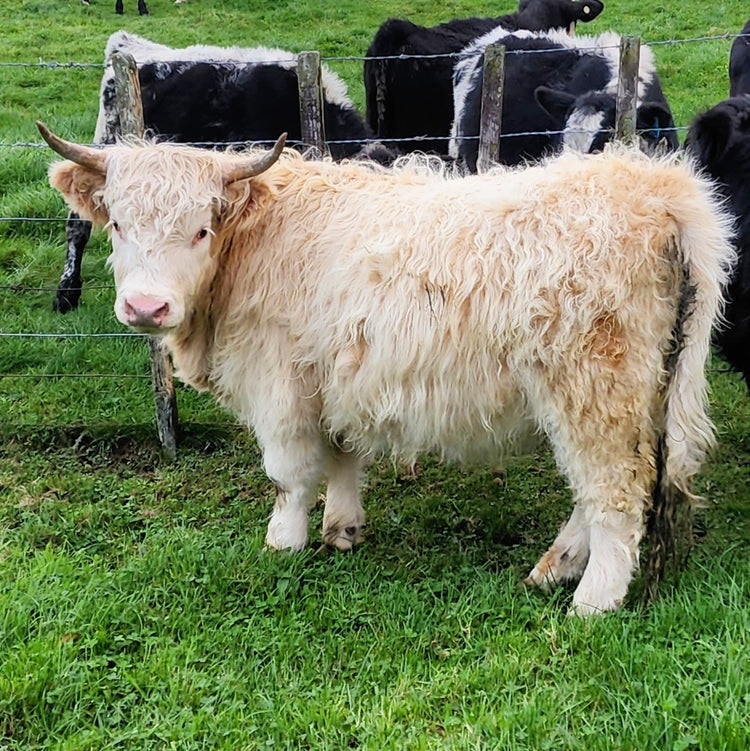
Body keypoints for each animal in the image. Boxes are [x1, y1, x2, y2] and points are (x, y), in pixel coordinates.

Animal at [39, 121, 734, 615]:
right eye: (118, 224)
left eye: (201, 229)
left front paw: (284, 541)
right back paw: (554, 568)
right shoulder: (337, 377)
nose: (145, 306)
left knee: (614, 492)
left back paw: (592, 602)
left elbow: (288, 474)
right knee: (602, 494)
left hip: (596, 392)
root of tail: (658, 188)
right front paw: (343, 529)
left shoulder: (280, 385)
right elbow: (344, 455)